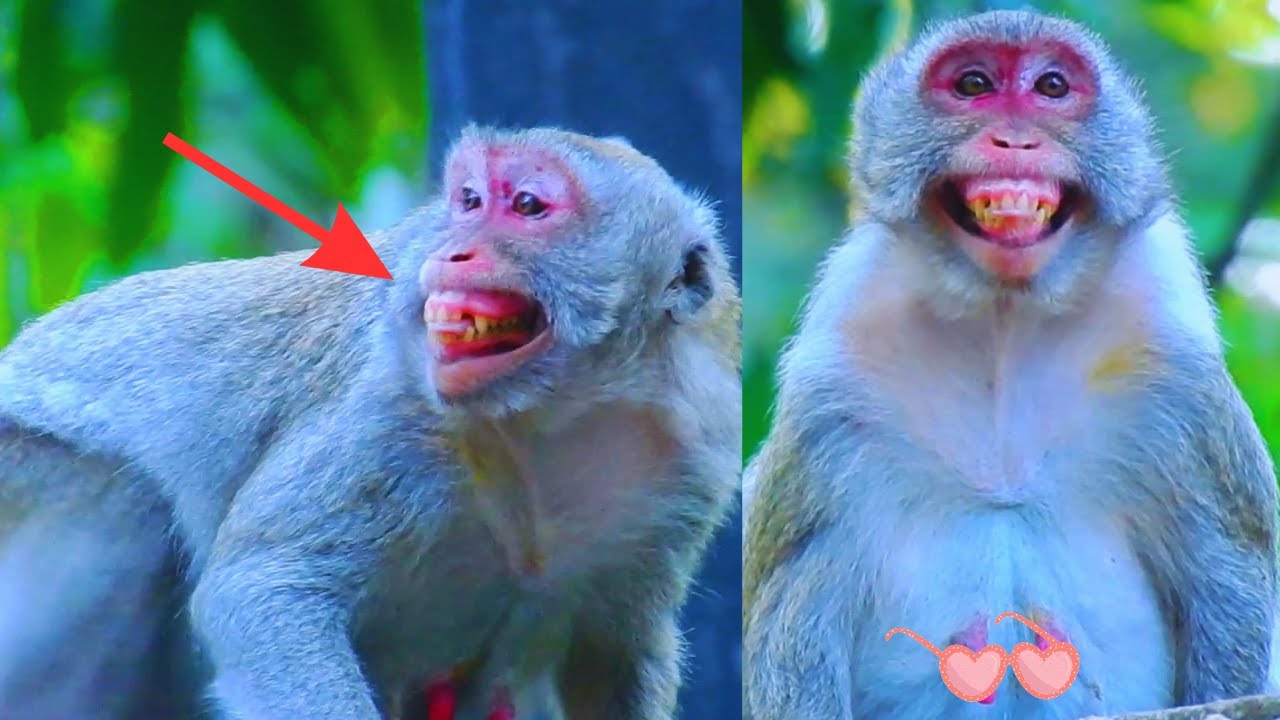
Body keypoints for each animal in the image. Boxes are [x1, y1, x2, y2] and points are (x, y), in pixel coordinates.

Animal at [0, 125, 742, 720]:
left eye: (529, 206)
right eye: (469, 201)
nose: (455, 250)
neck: (550, 418)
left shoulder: (689, 466)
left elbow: (614, 653)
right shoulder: (390, 419)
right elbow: (261, 591)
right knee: (125, 507)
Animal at [742, 10, 1278, 720]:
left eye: (1051, 86)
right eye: (974, 84)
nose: (1015, 139)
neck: (1006, 319)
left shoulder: (1175, 370)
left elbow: (1228, 578)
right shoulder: (833, 384)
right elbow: (796, 600)